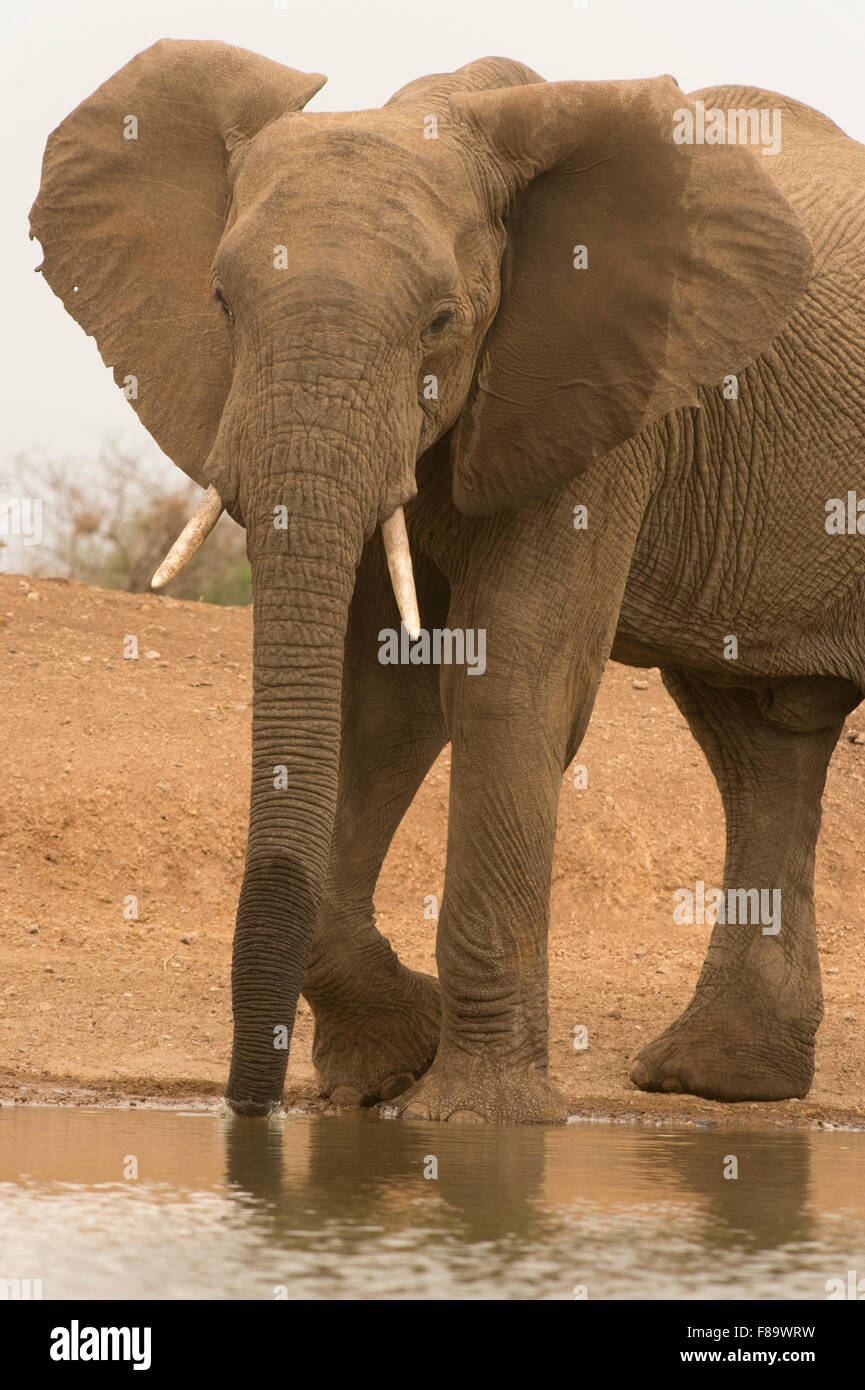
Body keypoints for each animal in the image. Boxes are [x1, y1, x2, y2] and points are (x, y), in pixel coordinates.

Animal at [29, 40, 865, 1122]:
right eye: (220, 304)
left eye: (440, 321)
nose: (248, 1113)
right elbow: (380, 705)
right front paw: (389, 1066)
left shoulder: (601, 397)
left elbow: (508, 686)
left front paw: (473, 1119)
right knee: (756, 738)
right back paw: (716, 1081)